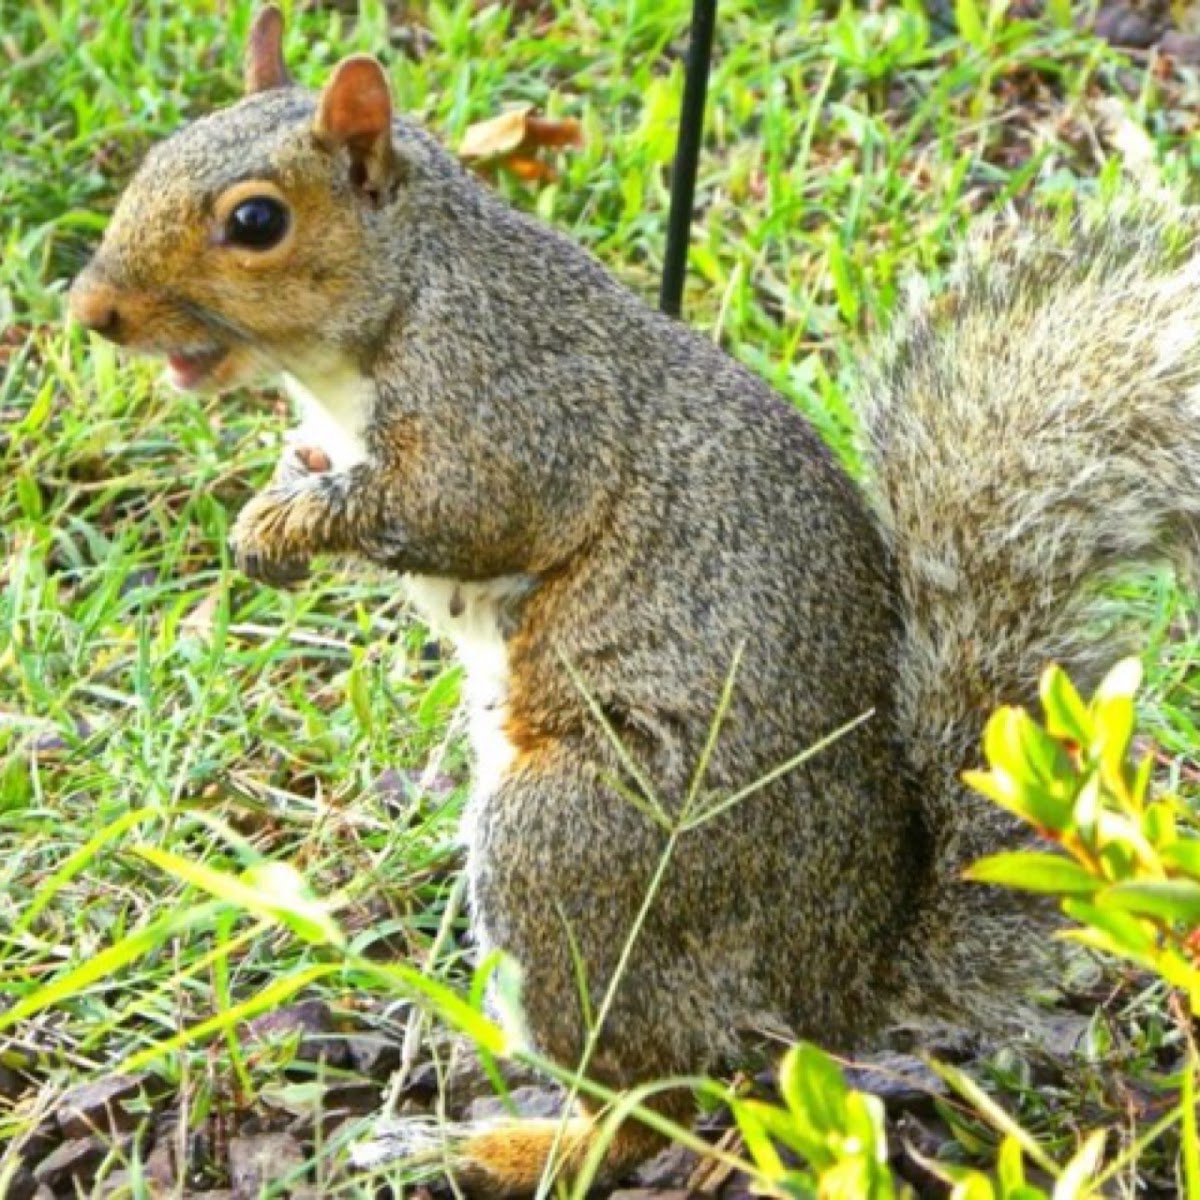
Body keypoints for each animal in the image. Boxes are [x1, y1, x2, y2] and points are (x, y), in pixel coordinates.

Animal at [67, 6, 1200, 1194]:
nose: (93, 311)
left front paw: (282, 529)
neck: (410, 292)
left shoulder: (514, 410)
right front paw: (276, 507)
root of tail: (836, 990)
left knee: (649, 1111)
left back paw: (483, 1144)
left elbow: (463, 510)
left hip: (574, 849)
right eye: (153, 161)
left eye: (255, 221)